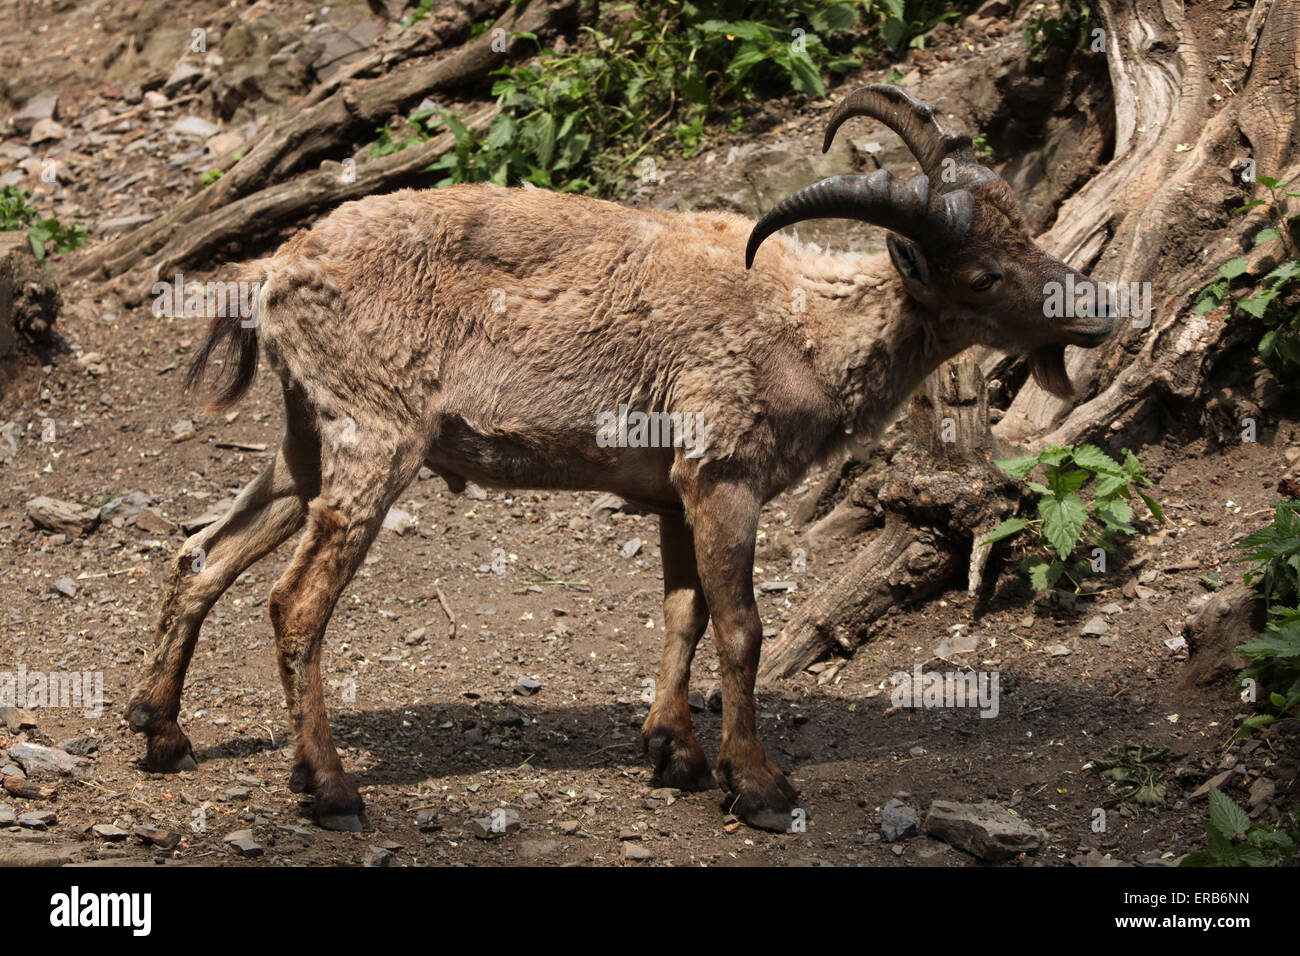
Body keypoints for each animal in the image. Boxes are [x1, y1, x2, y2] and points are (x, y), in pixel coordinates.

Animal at [126, 85, 1114, 833]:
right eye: (982, 274)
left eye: (1028, 235)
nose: (1100, 310)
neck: (804, 330)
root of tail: (274, 273)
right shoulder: (724, 474)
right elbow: (743, 629)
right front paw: (757, 784)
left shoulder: (676, 493)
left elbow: (683, 614)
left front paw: (672, 751)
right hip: (374, 438)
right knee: (294, 601)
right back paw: (330, 789)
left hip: (306, 439)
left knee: (202, 551)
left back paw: (160, 728)